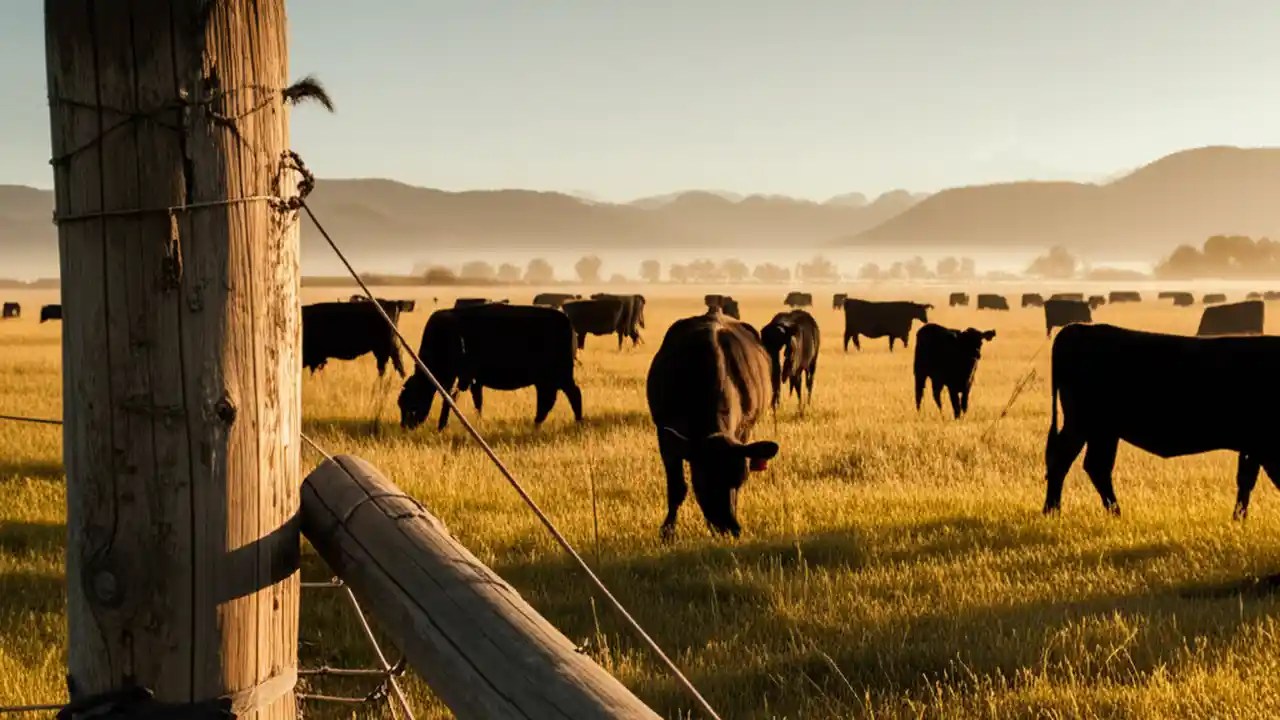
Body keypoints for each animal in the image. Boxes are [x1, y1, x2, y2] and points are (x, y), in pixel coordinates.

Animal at [397, 304, 583, 431]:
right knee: (547, 400)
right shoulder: (473, 380)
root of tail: (566, 320)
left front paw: (442, 425)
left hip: (561, 375)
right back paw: (537, 423)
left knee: (572, 394)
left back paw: (577, 421)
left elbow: (449, 400)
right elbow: (477, 401)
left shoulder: (454, 379)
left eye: (411, 401)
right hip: (546, 379)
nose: (406, 426)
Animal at [647, 311, 779, 540]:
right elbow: (677, 488)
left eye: (739, 480)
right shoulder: (665, 435)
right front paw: (667, 531)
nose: (729, 527)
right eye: (705, 480)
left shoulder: (743, 433)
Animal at [1042, 322, 1280, 520]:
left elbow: (1246, 480)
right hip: (1083, 424)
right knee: (1062, 461)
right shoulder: (1260, 443)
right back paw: (1053, 511)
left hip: (1103, 431)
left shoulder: (1252, 445)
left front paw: (1238, 518)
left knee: (1095, 466)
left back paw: (1114, 513)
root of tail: (1077, 328)